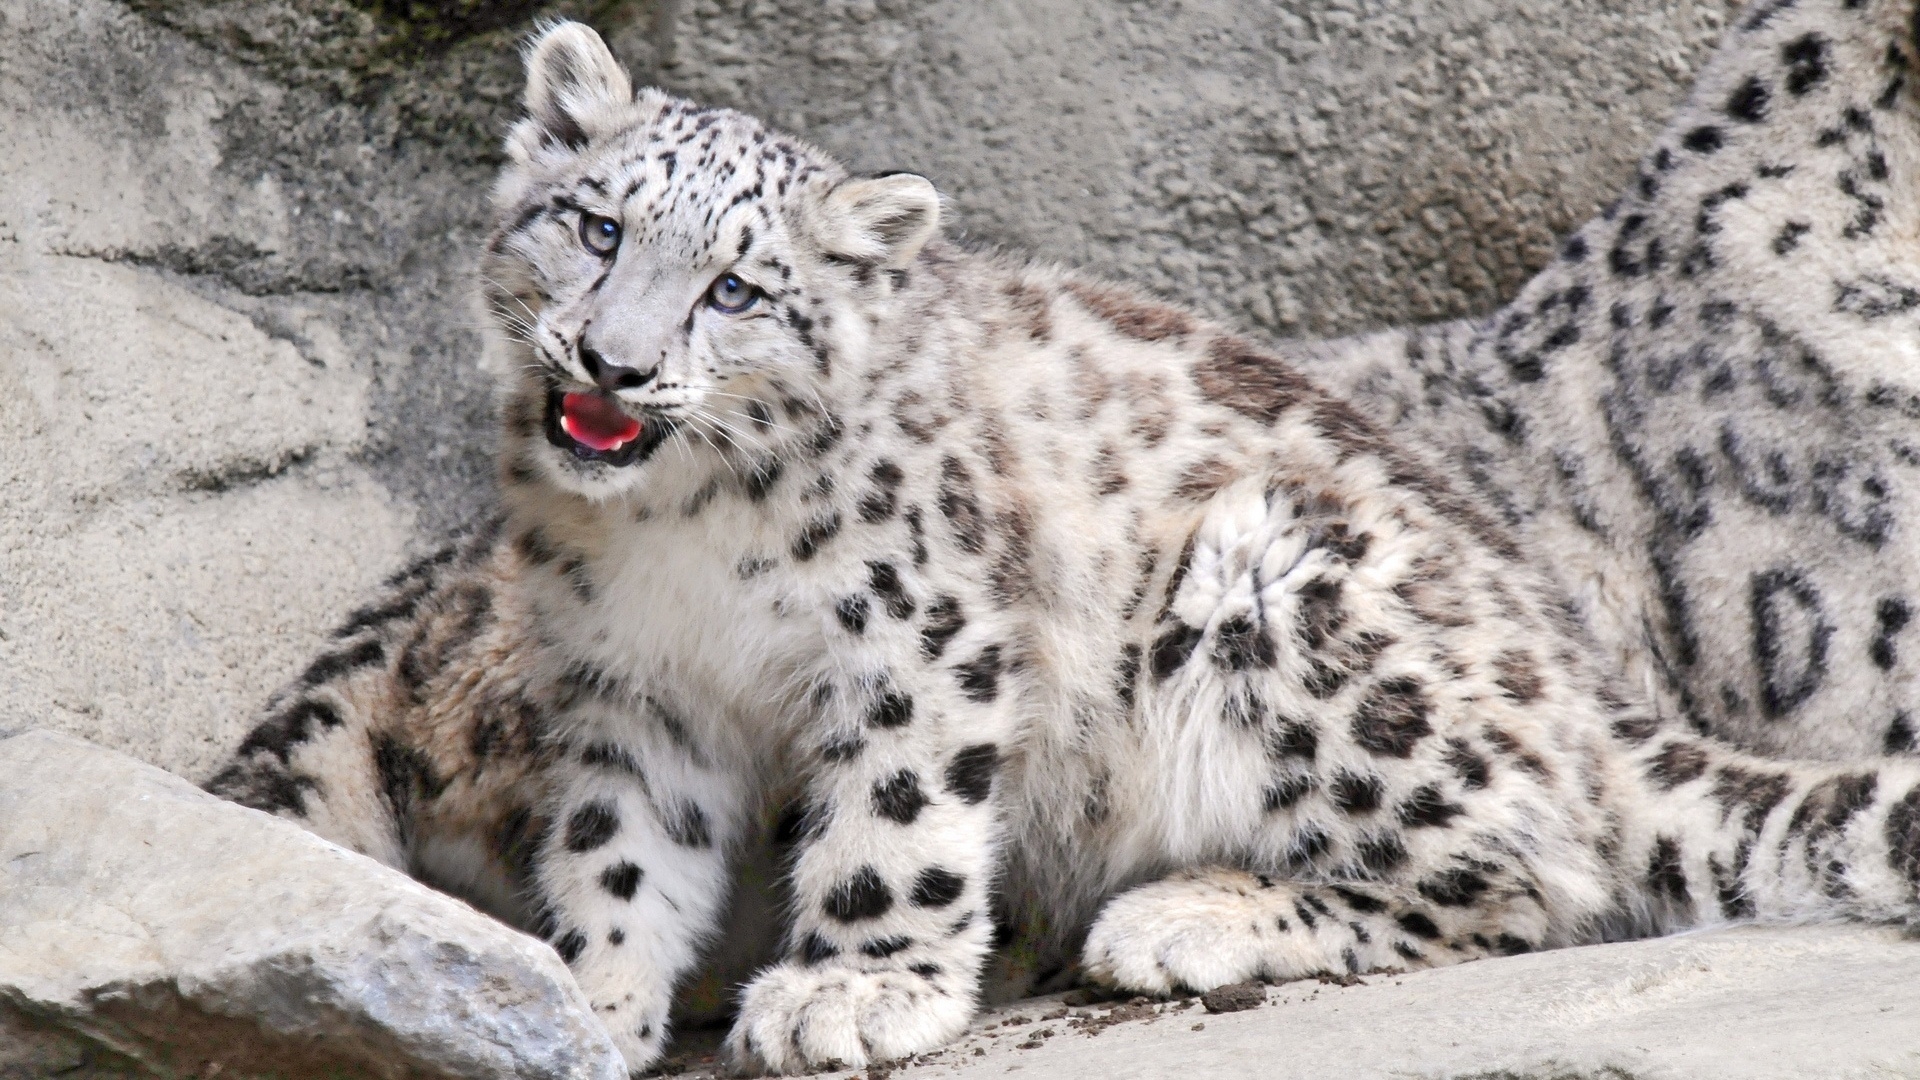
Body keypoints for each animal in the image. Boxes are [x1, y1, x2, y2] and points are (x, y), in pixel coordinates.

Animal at [210, 16, 1920, 1076]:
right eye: (597, 226)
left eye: (739, 289)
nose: (613, 366)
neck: (678, 540)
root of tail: (1580, 689)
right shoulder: (634, 690)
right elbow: (625, 849)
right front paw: (591, 999)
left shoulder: (920, 633)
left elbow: (895, 821)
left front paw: (848, 991)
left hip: (1283, 585)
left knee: (1525, 876)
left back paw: (1186, 919)